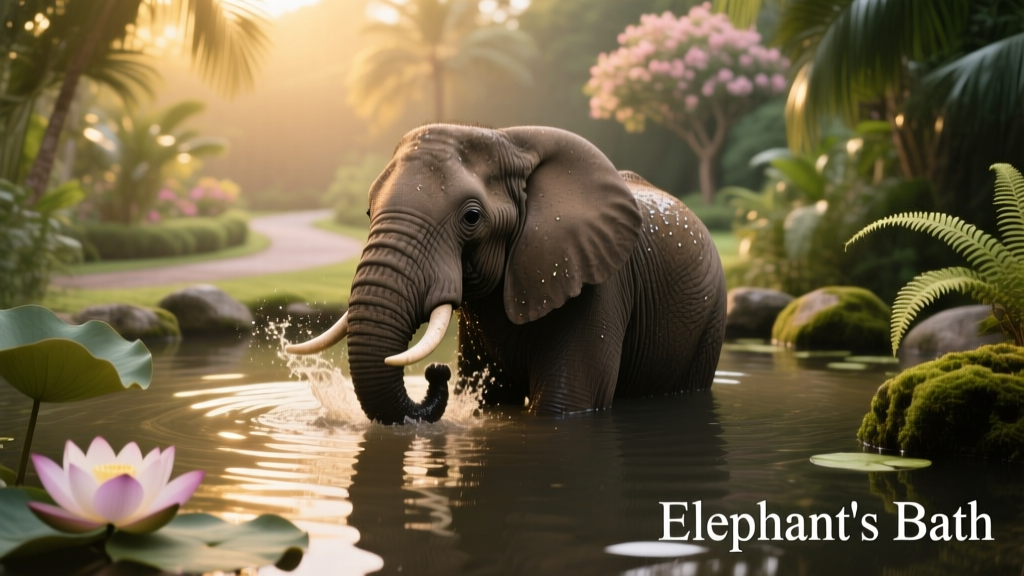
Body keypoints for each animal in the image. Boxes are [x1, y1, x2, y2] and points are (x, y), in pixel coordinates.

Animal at [286, 124, 726, 424]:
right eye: (366, 211)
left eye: (471, 217)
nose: (436, 371)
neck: (509, 139)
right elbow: (492, 398)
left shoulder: (599, 287)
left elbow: (564, 403)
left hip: (712, 318)